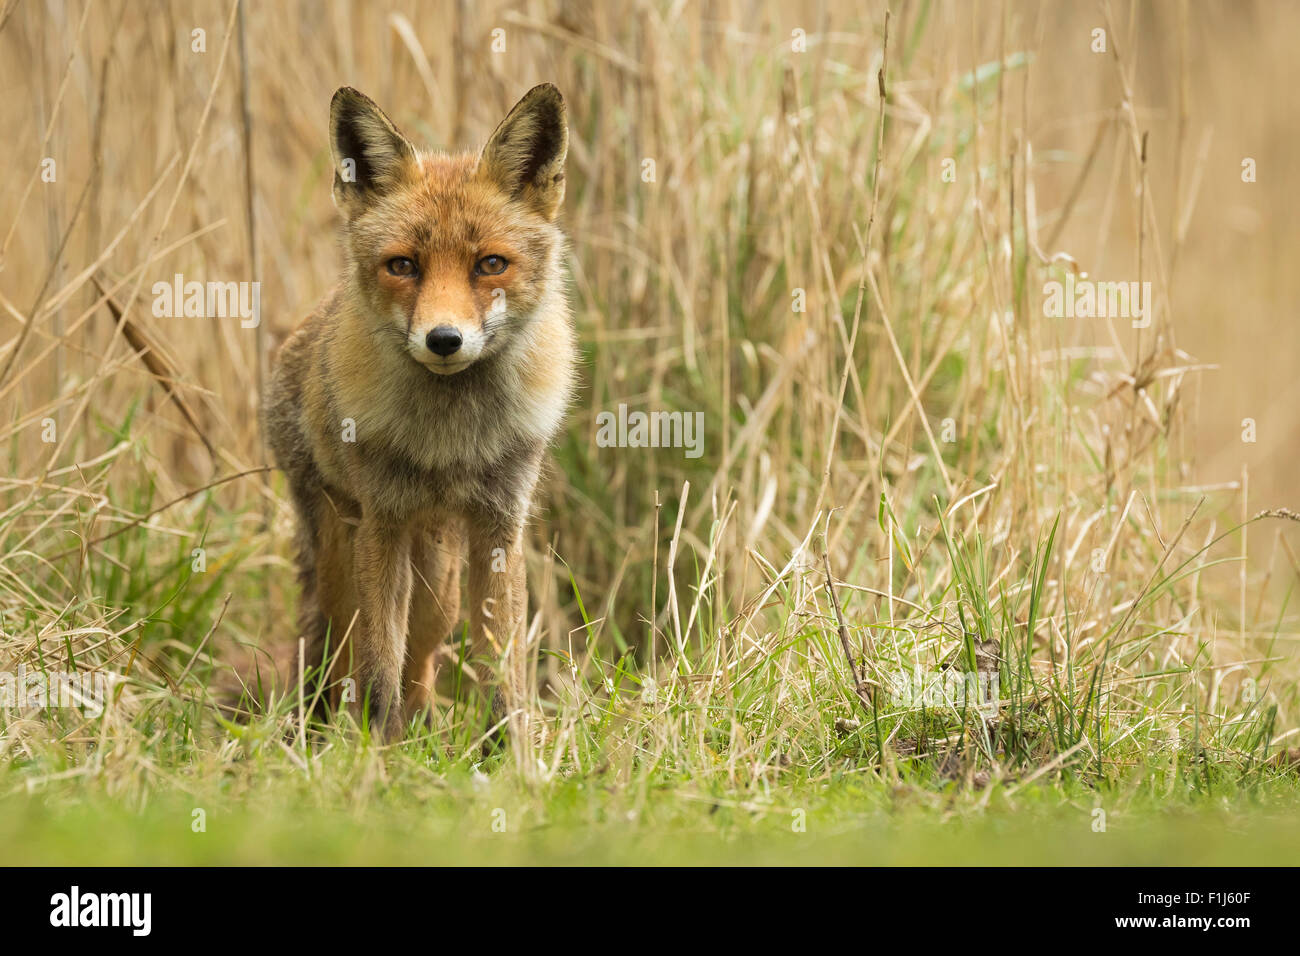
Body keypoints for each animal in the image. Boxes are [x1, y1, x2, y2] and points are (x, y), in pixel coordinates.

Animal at [263, 84, 575, 744]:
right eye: (403, 265)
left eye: (490, 264)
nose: (444, 340)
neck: (449, 441)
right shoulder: (382, 525)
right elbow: (379, 669)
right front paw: (374, 755)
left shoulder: (500, 525)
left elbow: (502, 668)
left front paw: (511, 753)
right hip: (344, 557)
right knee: (341, 656)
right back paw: (329, 734)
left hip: (439, 586)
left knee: (423, 661)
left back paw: (425, 732)